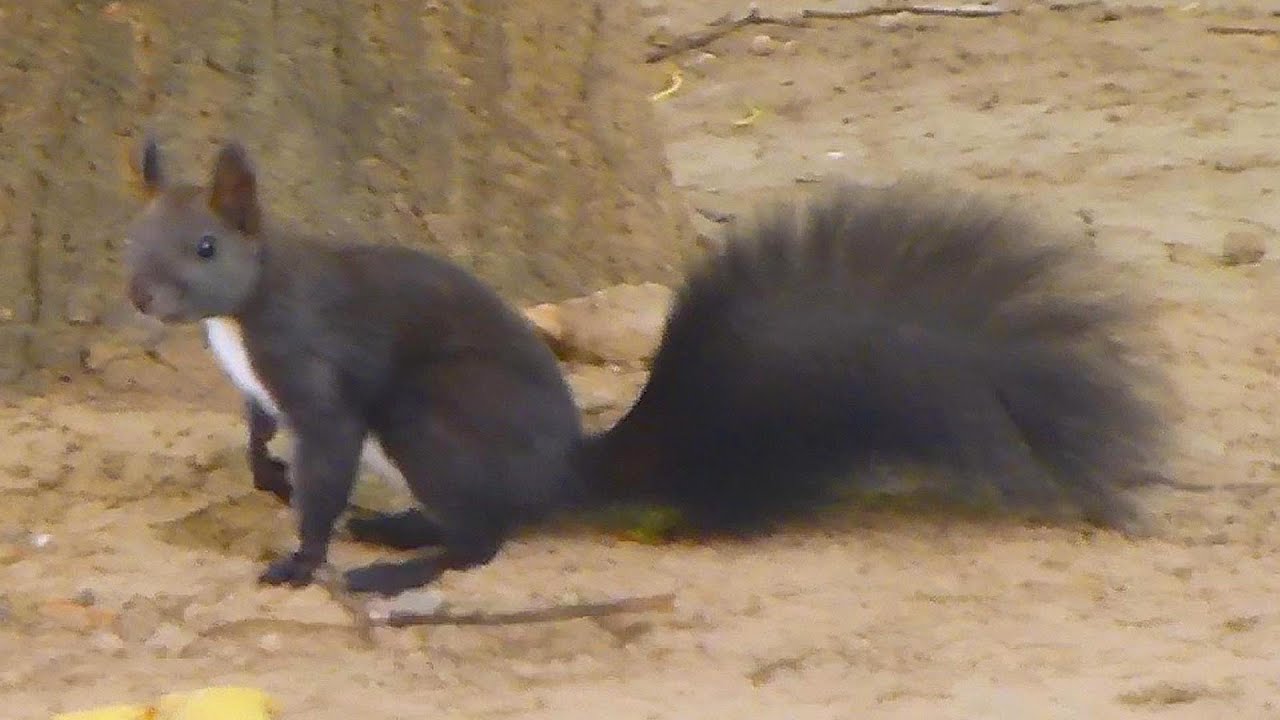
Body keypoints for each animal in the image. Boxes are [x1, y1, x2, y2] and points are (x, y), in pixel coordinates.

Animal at [123, 138, 1165, 596]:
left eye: (207, 246)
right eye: (133, 235)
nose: (142, 296)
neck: (240, 319)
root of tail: (565, 470)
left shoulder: (318, 364)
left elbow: (327, 451)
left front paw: (300, 556)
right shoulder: (261, 387)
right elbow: (260, 429)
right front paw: (262, 469)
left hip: (432, 416)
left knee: (487, 534)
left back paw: (402, 568)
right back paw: (396, 528)